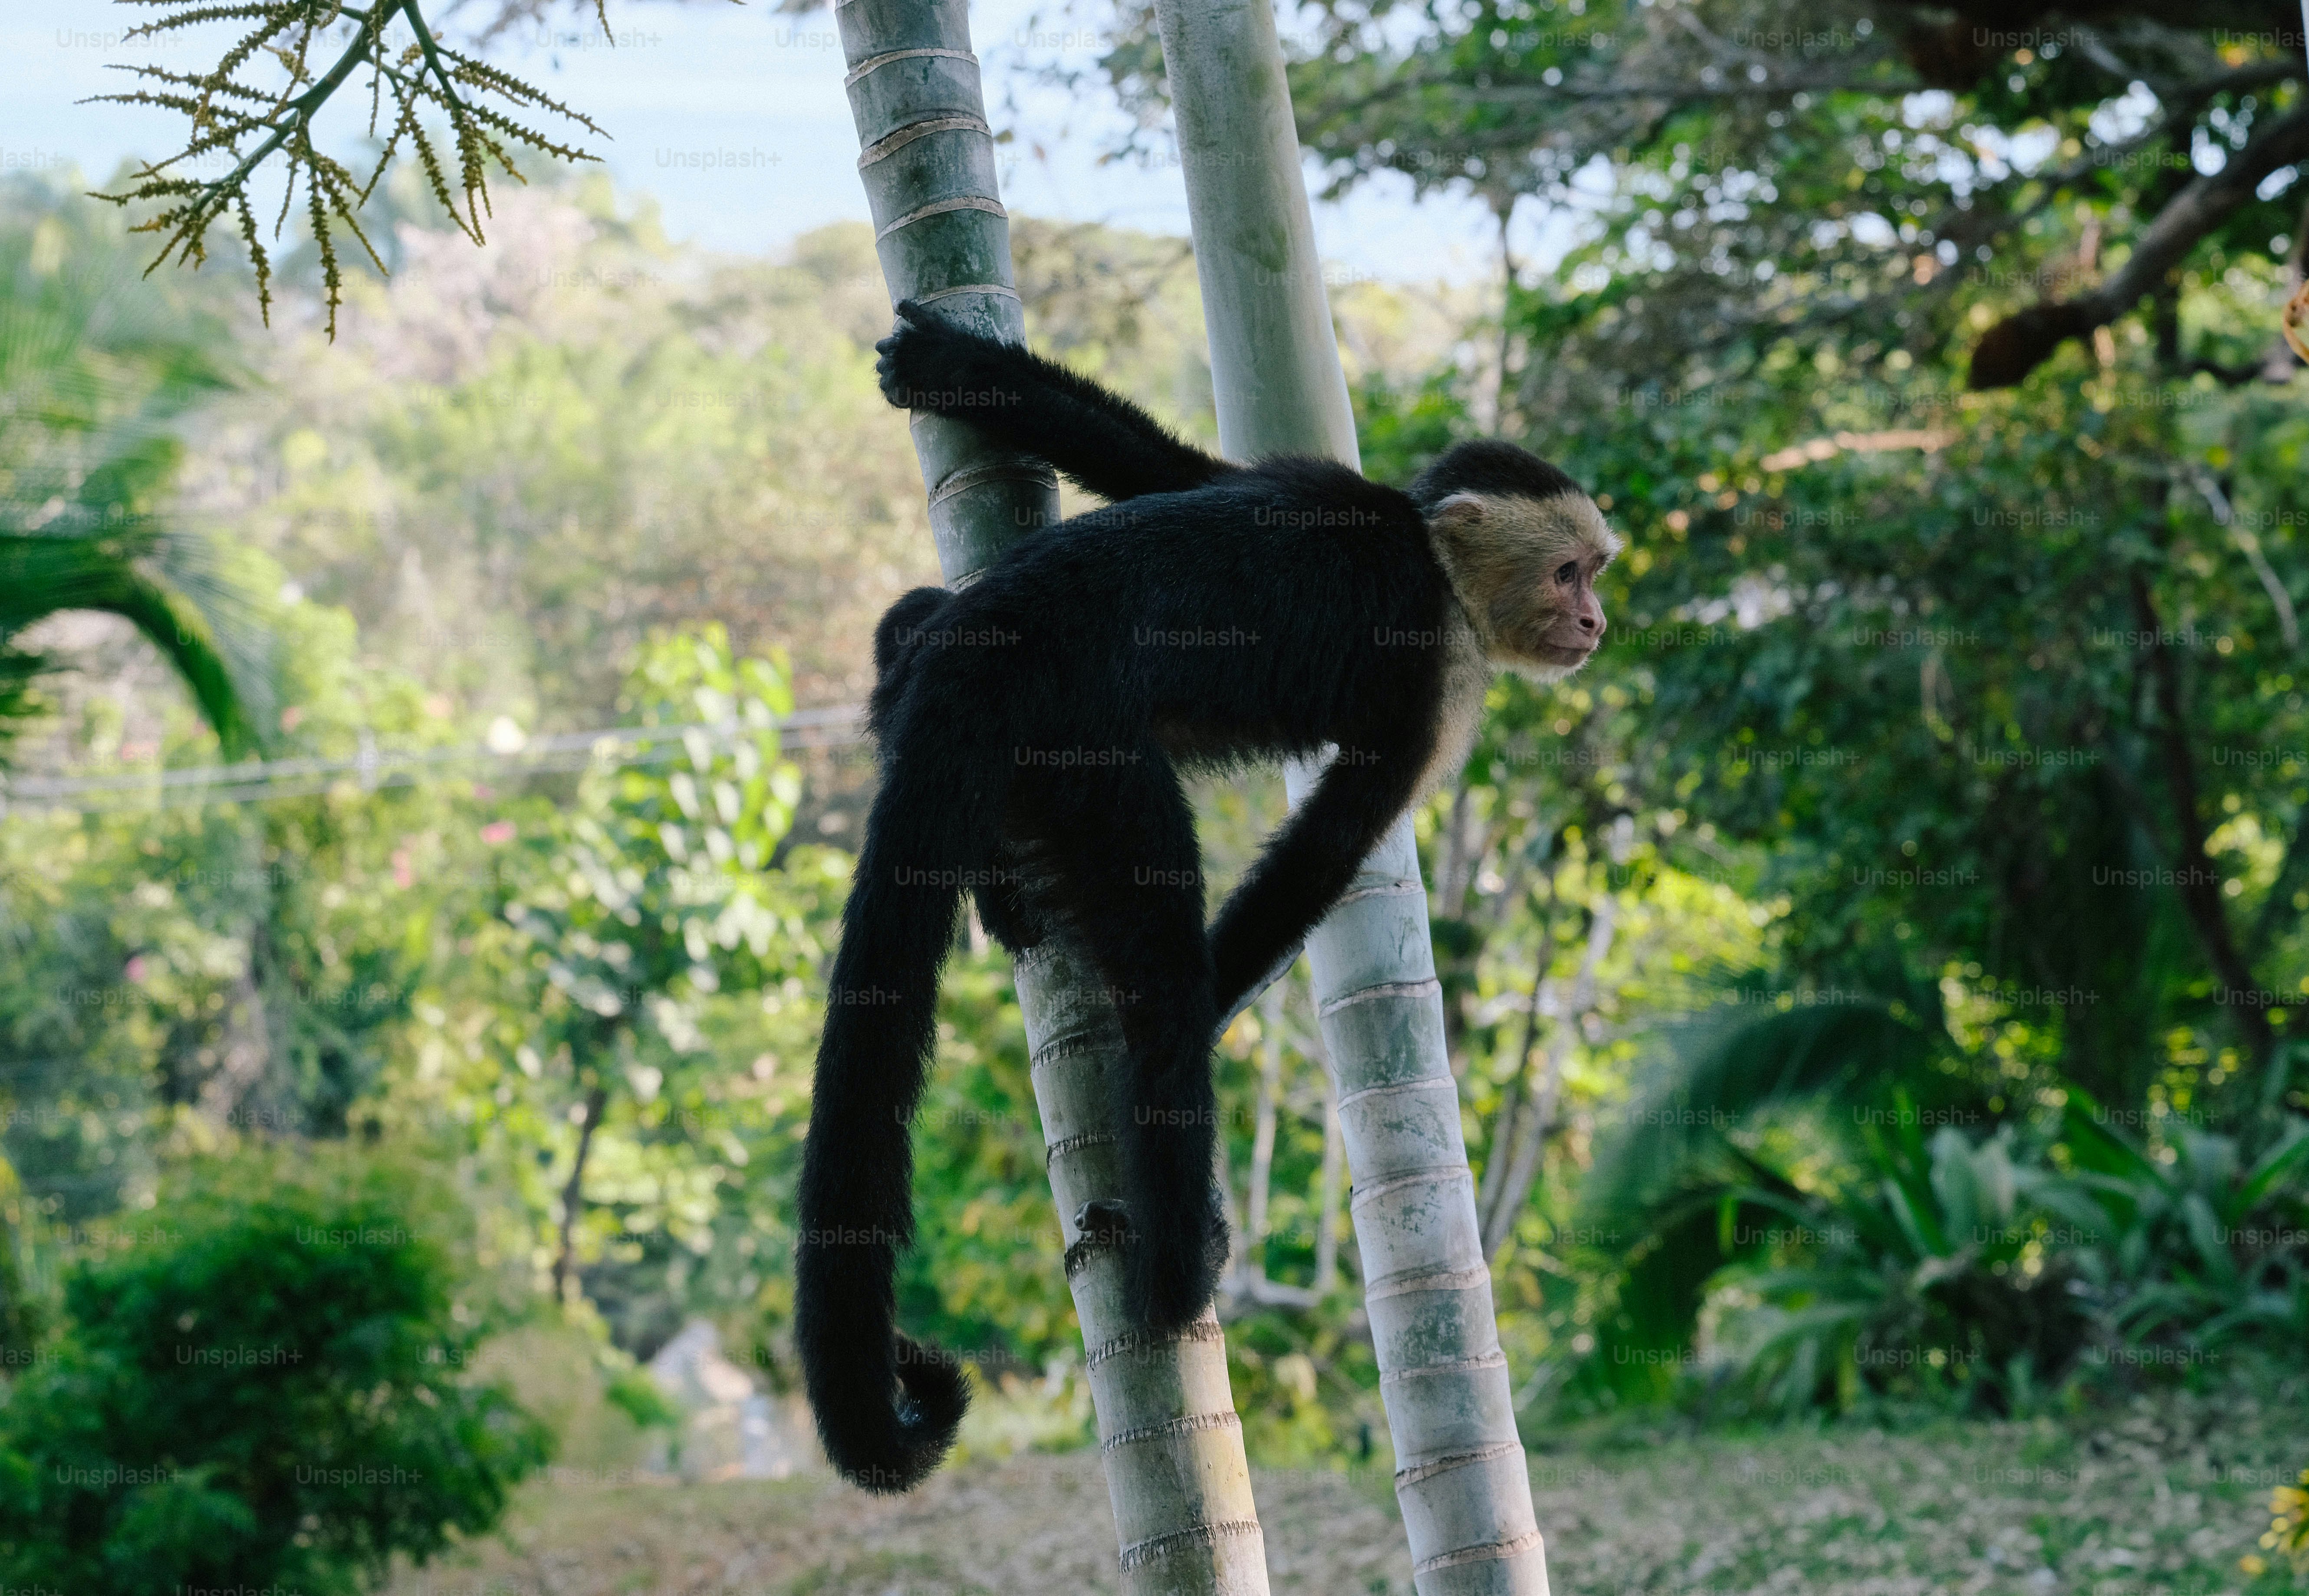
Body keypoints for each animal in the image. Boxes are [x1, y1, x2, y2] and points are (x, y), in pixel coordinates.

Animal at [796, 302, 1621, 1492]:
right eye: (1568, 573)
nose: (1596, 625)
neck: (1427, 558)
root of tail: (988, 646)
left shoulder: (1318, 478)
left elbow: (1173, 471)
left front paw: (956, 368)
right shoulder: (1442, 673)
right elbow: (1324, 852)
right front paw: (1225, 994)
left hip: (964, 699)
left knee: (908, 621)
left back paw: (996, 881)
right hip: (1084, 753)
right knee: (1164, 971)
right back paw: (1179, 1270)